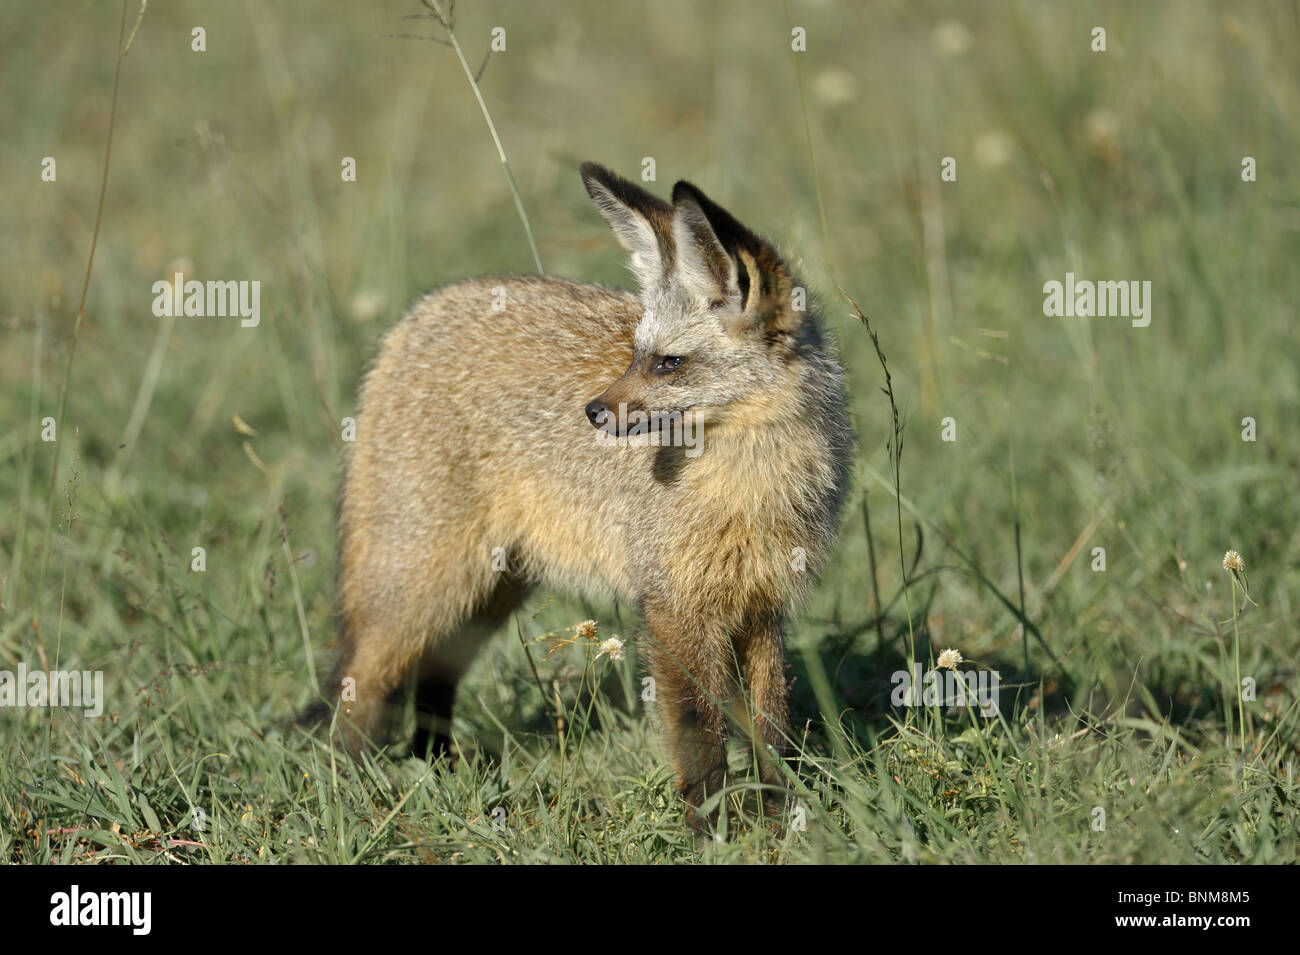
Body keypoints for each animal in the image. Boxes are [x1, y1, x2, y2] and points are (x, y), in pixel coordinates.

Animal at [319, 162, 853, 825]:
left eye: (668, 364)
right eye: (636, 356)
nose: (593, 412)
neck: (751, 488)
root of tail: (413, 317)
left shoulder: (763, 604)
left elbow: (772, 732)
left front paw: (781, 821)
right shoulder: (673, 608)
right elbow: (699, 737)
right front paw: (713, 830)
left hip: (485, 594)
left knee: (433, 680)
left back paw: (435, 767)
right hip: (424, 589)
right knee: (359, 689)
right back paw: (350, 789)